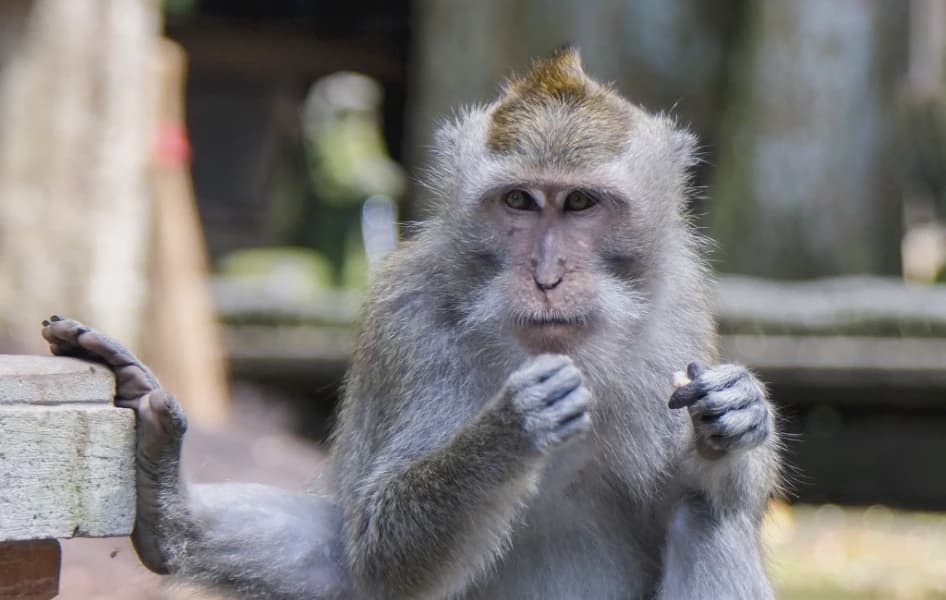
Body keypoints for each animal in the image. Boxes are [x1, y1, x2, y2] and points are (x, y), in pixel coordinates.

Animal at [41, 47, 780, 599]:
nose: (546, 276)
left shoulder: (675, 312)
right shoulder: (411, 322)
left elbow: (714, 493)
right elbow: (380, 548)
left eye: (579, 204)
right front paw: (509, 429)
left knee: (706, 518)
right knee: (343, 561)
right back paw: (169, 512)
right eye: (519, 201)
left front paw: (739, 411)